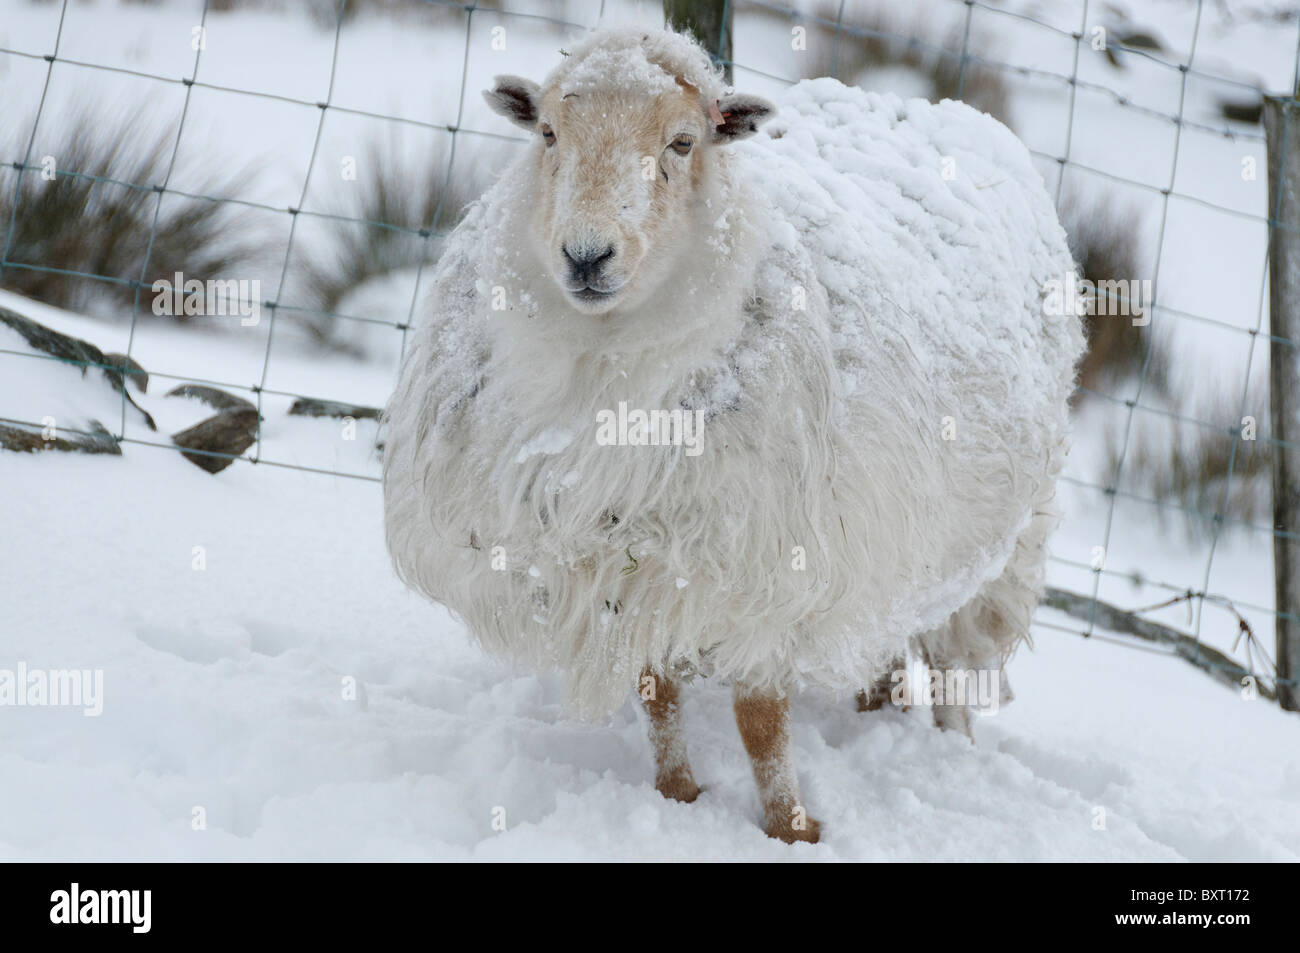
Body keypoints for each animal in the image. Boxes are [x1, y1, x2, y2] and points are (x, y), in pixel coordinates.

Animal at [382, 25, 1085, 844]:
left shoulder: (764, 560)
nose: (586, 257)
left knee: (953, 668)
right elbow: (656, 691)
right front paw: (678, 795)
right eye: (548, 133)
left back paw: (951, 753)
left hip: (999, 544)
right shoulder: (637, 556)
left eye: (684, 142)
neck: (605, 364)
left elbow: (759, 718)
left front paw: (791, 828)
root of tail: (941, 107)